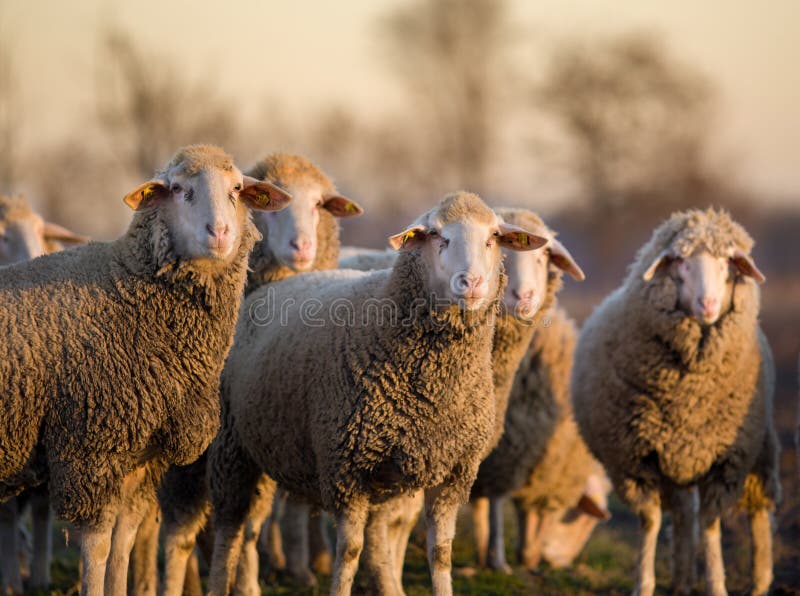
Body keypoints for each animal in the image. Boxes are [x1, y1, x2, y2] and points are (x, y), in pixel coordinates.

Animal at [0, 145, 292, 596]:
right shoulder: (91, 447)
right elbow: (99, 548)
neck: (124, 287)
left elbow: (124, 543)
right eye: (180, 189)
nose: (220, 232)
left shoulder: (141, 459)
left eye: (236, 190)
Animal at [155, 152, 362, 596]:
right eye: (274, 208)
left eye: (319, 204)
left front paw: (257, 580)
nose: (302, 247)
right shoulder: (231, 441)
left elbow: (253, 524)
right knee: (176, 527)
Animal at [205, 192, 549, 596]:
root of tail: (265, 290)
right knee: (230, 528)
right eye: (437, 235)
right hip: (232, 446)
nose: (472, 282)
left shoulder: (453, 473)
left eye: (493, 237)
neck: (434, 387)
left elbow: (440, 554)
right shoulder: (345, 468)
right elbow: (349, 551)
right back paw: (219, 583)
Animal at [572, 208, 781, 596]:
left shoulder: (726, 462)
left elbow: (711, 525)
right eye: (681, 261)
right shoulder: (634, 461)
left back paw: (760, 580)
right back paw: (682, 580)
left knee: (758, 507)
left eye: (727, 262)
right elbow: (650, 522)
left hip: (758, 448)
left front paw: (717, 584)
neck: (690, 395)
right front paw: (643, 583)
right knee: (683, 514)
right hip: (673, 462)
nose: (708, 305)